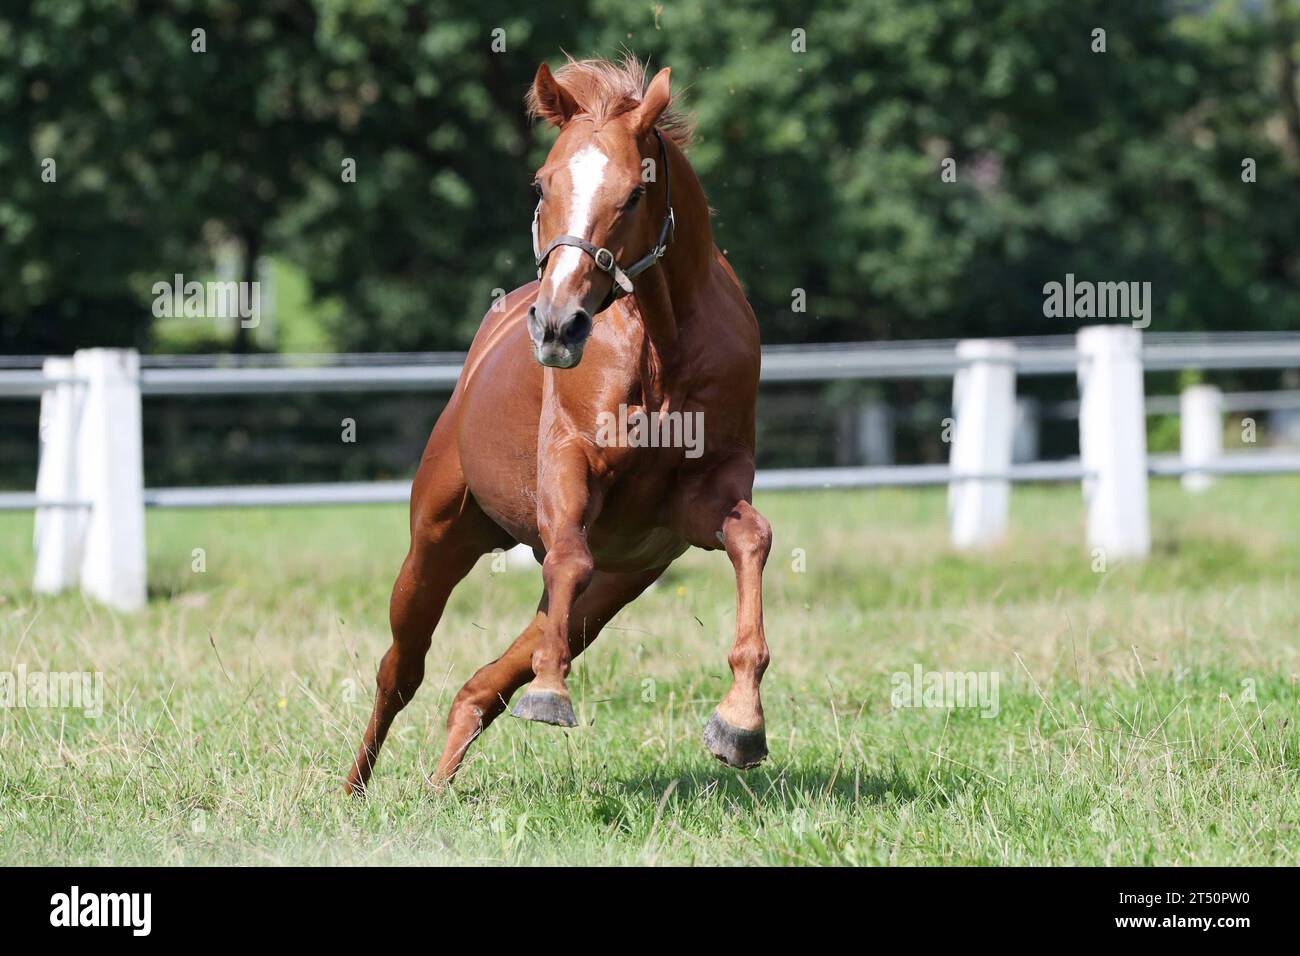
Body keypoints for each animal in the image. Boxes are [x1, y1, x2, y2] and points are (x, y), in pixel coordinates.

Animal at [345, 55, 773, 794]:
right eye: (543, 184)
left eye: (633, 195)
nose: (557, 325)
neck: (661, 345)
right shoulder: (570, 470)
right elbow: (568, 552)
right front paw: (551, 695)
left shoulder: (701, 499)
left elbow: (752, 538)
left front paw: (740, 724)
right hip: (439, 538)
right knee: (401, 668)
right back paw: (355, 787)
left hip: (612, 589)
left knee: (483, 685)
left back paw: (439, 784)